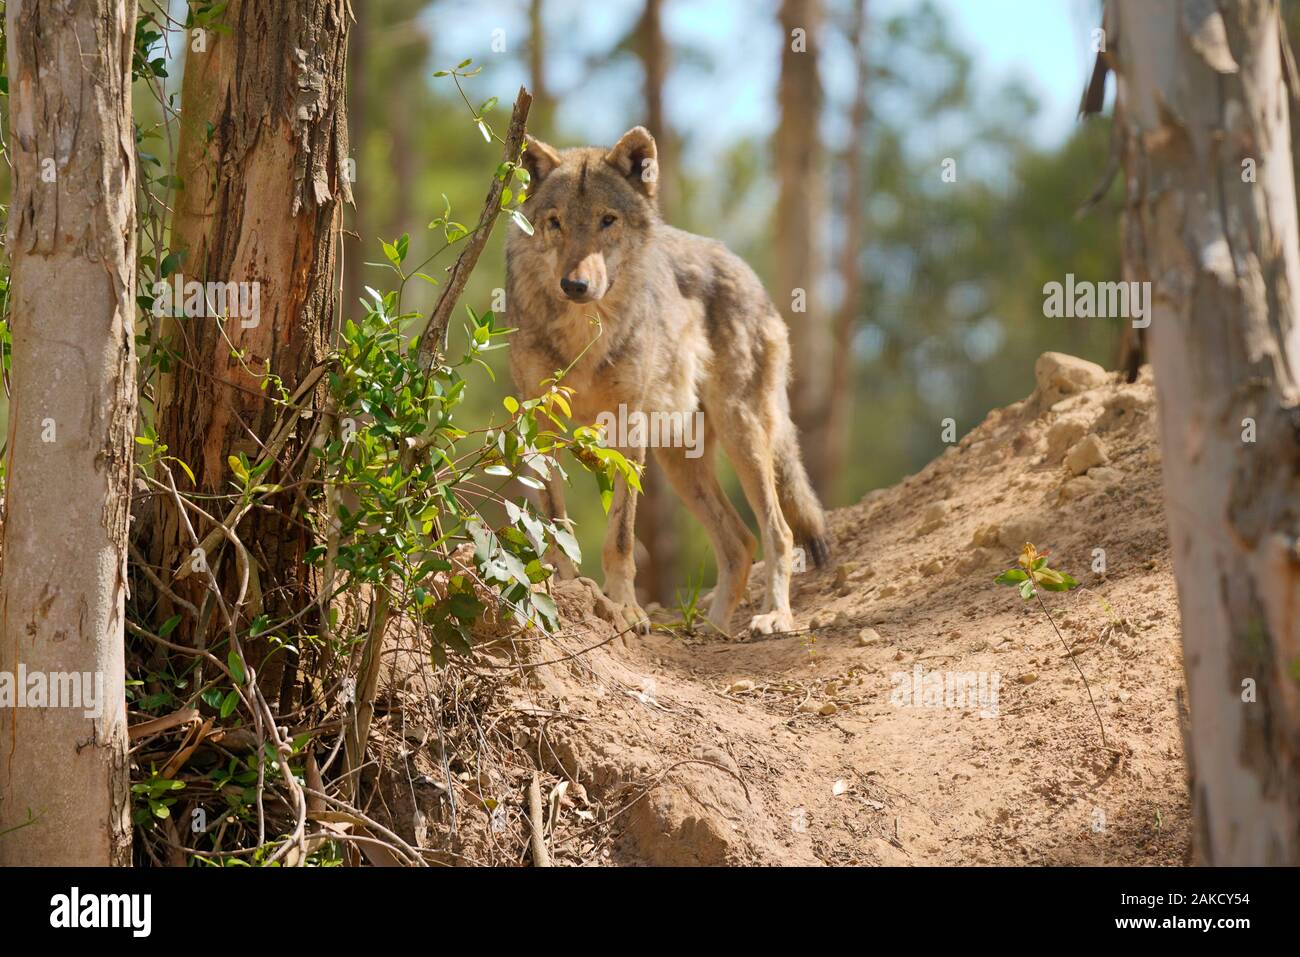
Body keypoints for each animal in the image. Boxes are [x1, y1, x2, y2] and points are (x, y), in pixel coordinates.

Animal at [506, 126, 830, 637]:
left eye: (608, 220)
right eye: (555, 222)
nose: (574, 286)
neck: (584, 334)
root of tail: (747, 271)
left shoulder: (628, 427)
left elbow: (620, 535)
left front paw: (627, 610)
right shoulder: (543, 423)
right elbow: (556, 520)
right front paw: (563, 585)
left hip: (740, 435)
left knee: (778, 532)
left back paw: (774, 616)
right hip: (681, 460)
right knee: (740, 543)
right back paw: (713, 630)